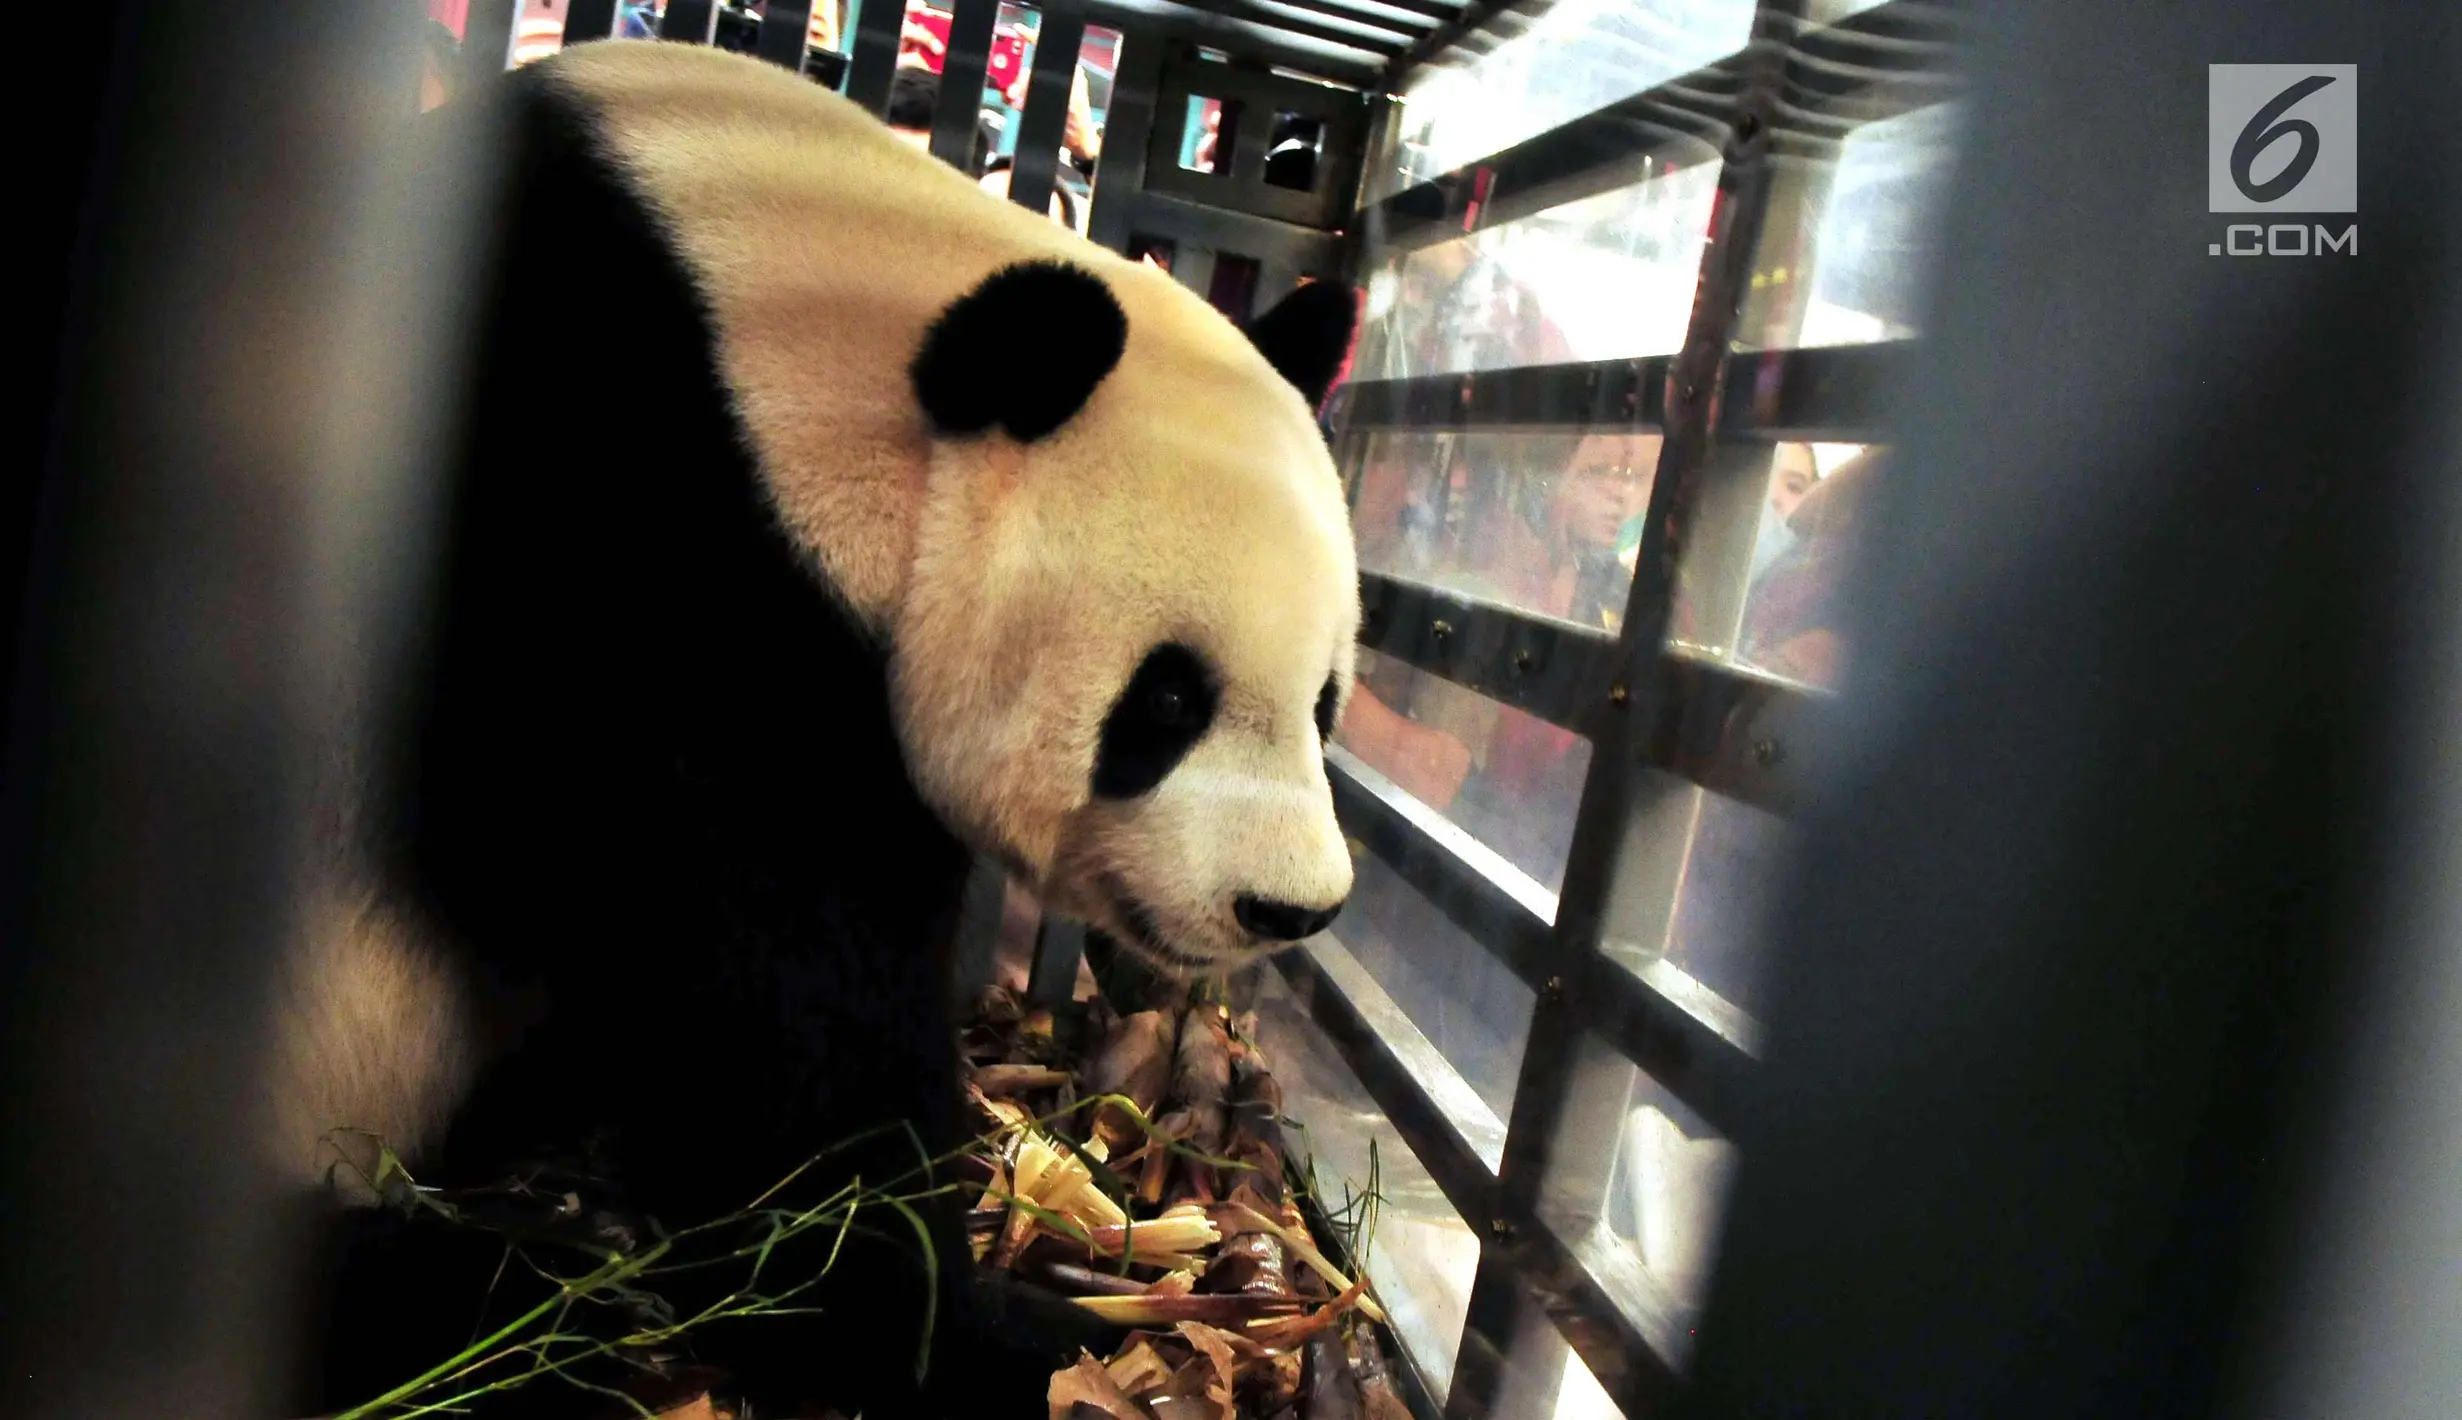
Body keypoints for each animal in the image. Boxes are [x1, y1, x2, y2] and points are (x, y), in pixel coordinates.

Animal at [278, 36, 1361, 1420]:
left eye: (1324, 700)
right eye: (1167, 700)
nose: (1290, 909)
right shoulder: (620, 543)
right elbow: (769, 1017)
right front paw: (974, 1328)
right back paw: (541, 1307)